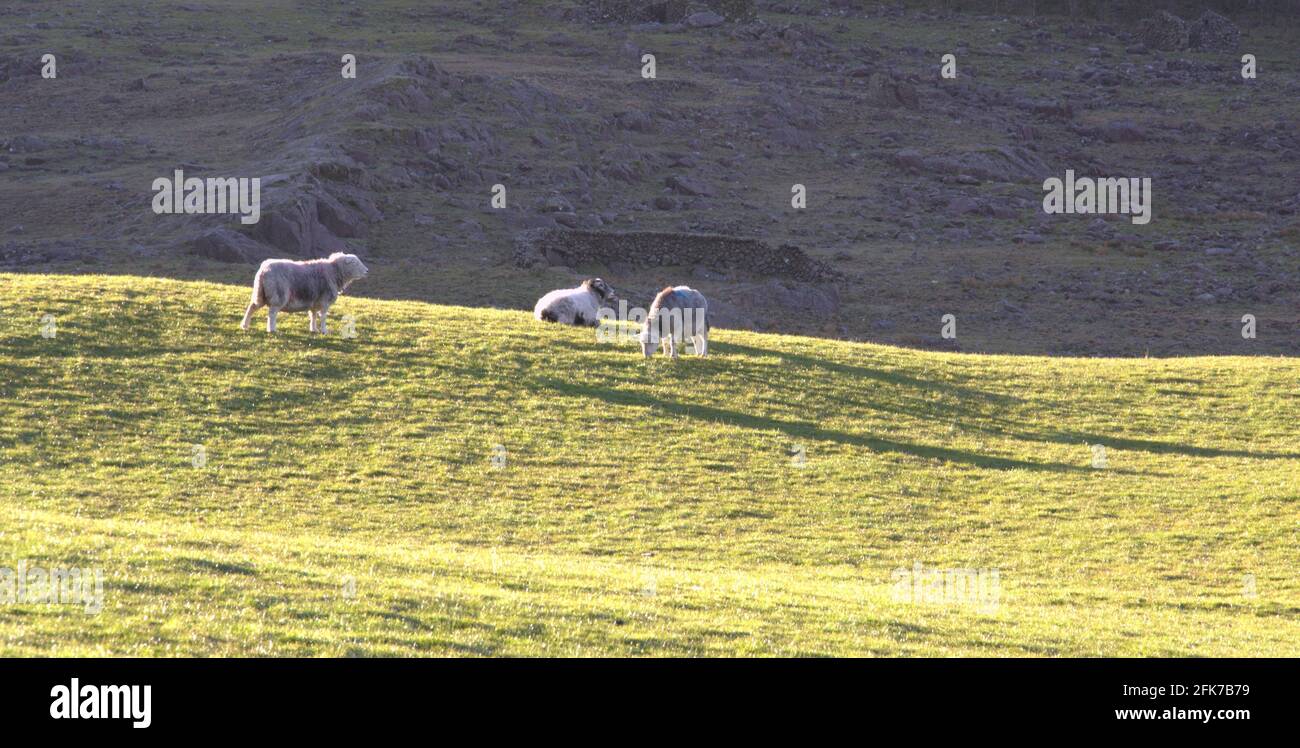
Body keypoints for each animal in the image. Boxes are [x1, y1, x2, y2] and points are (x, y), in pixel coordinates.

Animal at [239, 252, 368, 334]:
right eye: (355, 263)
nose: (367, 271)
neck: (334, 272)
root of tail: (264, 270)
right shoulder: (324, 301)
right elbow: (323, 317)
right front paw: (324, 331)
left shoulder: (315, 301)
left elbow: (313, 316)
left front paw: (314, 329)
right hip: (278, 295)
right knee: (272, 313)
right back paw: (272, 329)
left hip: (260, 293)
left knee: (252, 307)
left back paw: (245, 325)